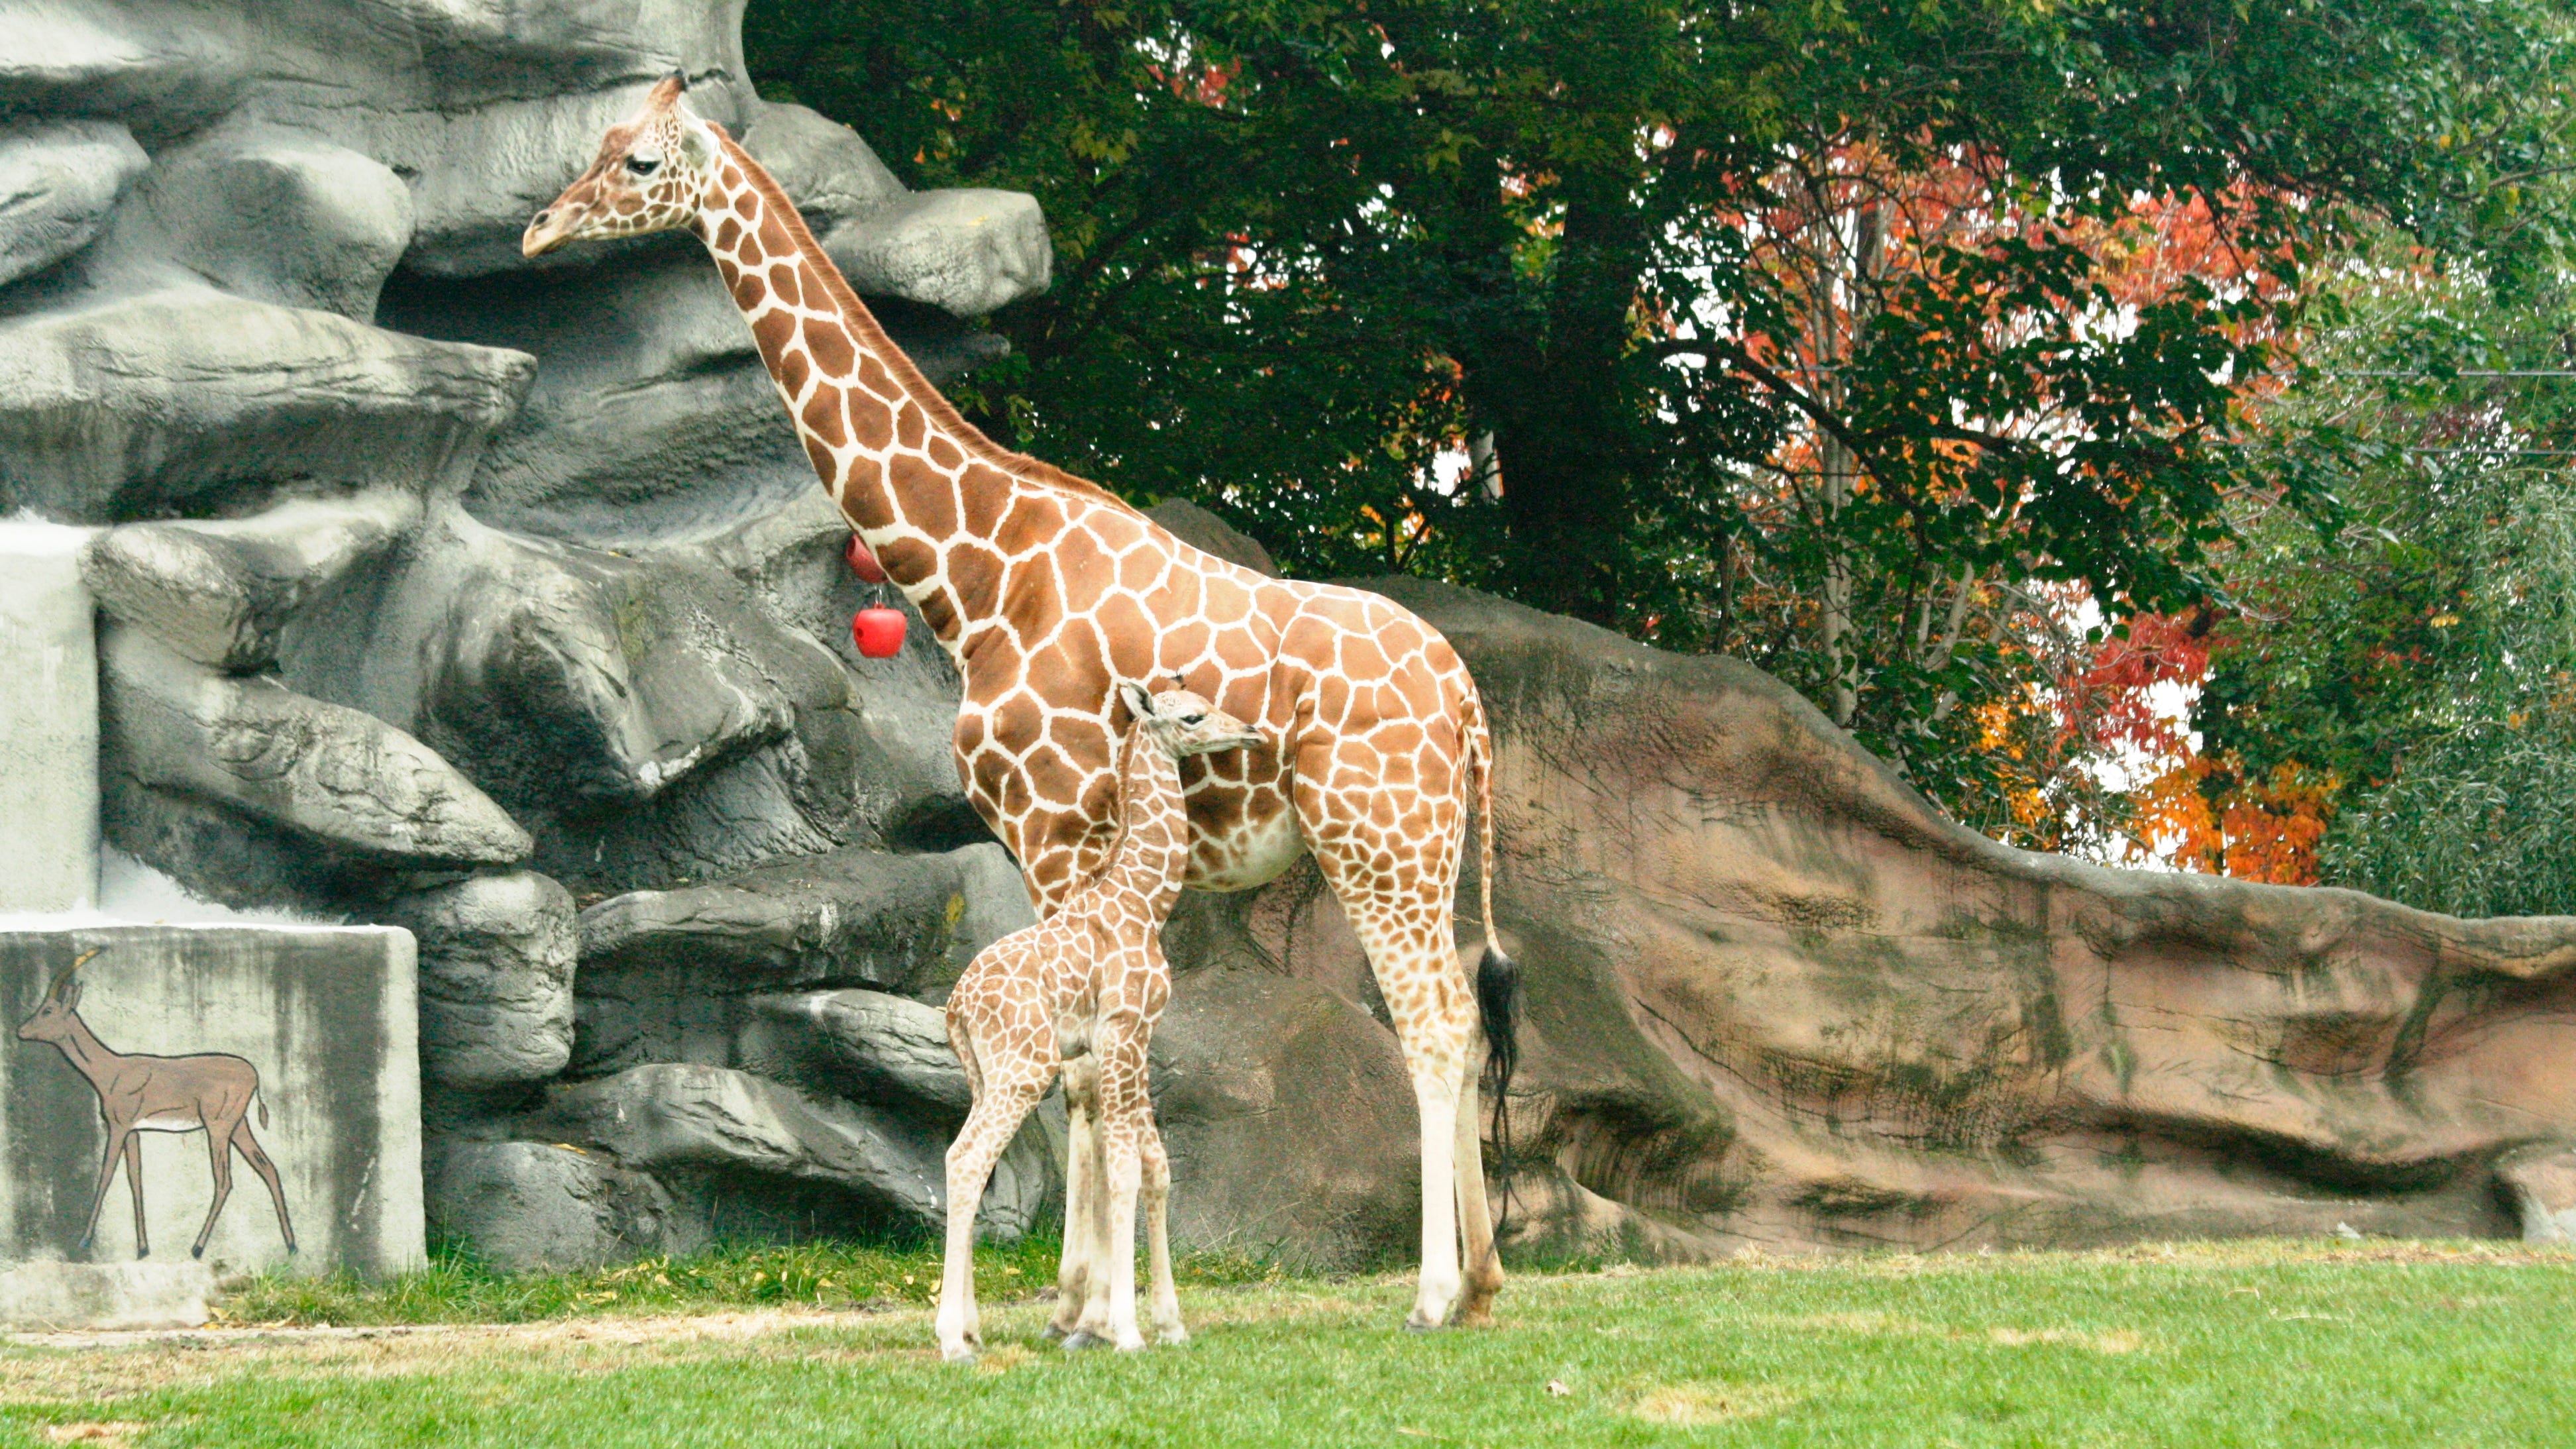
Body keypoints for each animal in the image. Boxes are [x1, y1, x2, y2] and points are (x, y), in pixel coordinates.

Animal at [935, 683, 1261, 1363]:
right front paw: (1126, 1331)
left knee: (963, 1161)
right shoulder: (1122, 1033)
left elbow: (1156, 1165)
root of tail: (955, 1008)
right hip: (1024, 1068)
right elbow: (1127, 1168)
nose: (1250, 731)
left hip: (984, 1074)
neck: (1145, 898)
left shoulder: (1139, 1038)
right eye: (1192, 715)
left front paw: (1168, 1322)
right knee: (967, 1158)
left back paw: (972, 1326)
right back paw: (952, 1339)